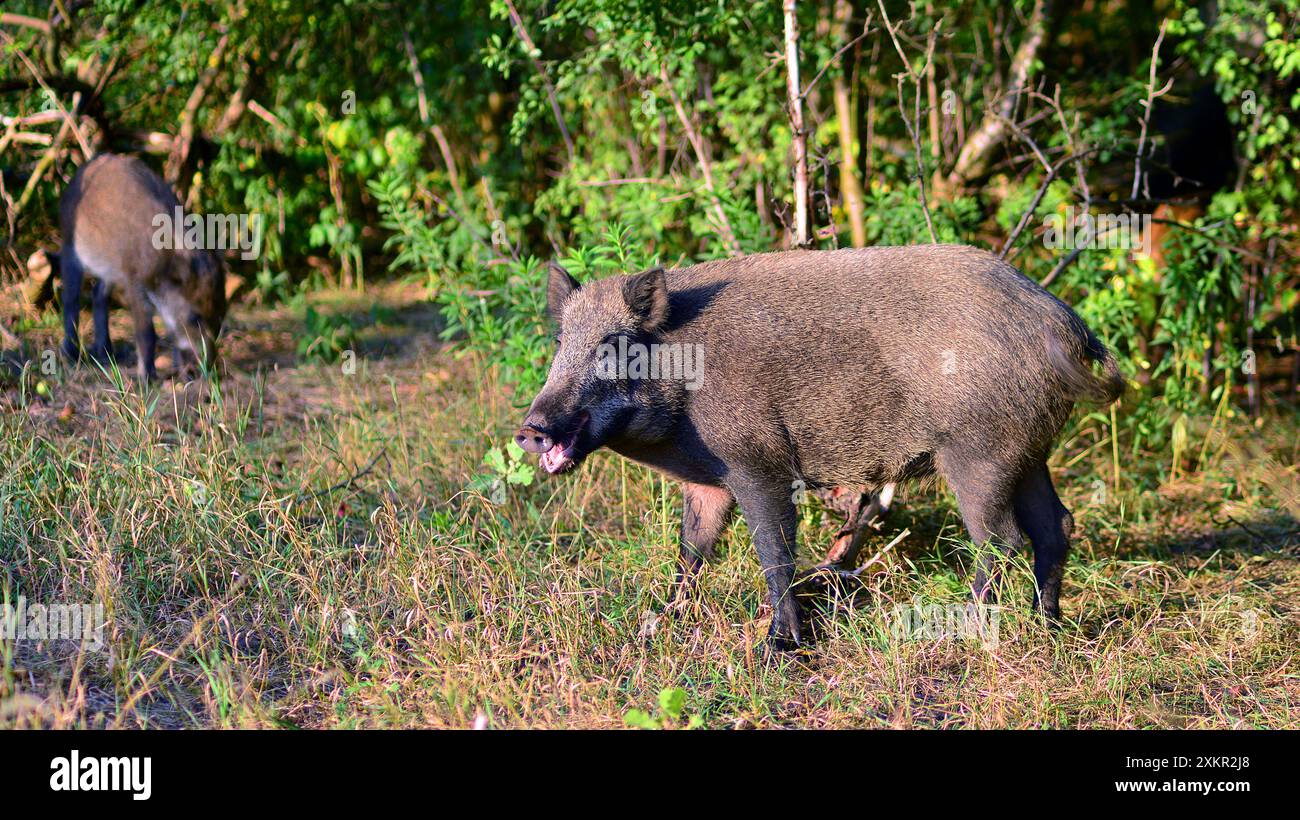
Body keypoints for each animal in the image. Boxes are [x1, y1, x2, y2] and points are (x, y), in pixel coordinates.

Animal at [59, 153, 226, 380]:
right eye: (195, 318)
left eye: (221, 314)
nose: (209, 368)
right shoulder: (135, 283)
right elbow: (146, 332)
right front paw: (147, 378)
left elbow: (173, 333)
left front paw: (182, 375)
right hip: (70, 250)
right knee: (71, 299)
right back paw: (70, 353)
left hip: (109, 270)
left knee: (98, 295)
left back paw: (105, 353)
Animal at [516, 246, 1124, 651]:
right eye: (560, 341)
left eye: (613, 344)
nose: (530, 428)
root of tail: (1065, 322)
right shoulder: (706, 483)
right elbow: (692, 551)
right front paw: (656, 624)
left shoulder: (759, 464)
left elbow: (773, 552)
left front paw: (779, 646)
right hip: (1030, 451)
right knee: (1057, 525)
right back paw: (1049, 627)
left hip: (979, 452)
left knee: (1003, 539)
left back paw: (966, 630)